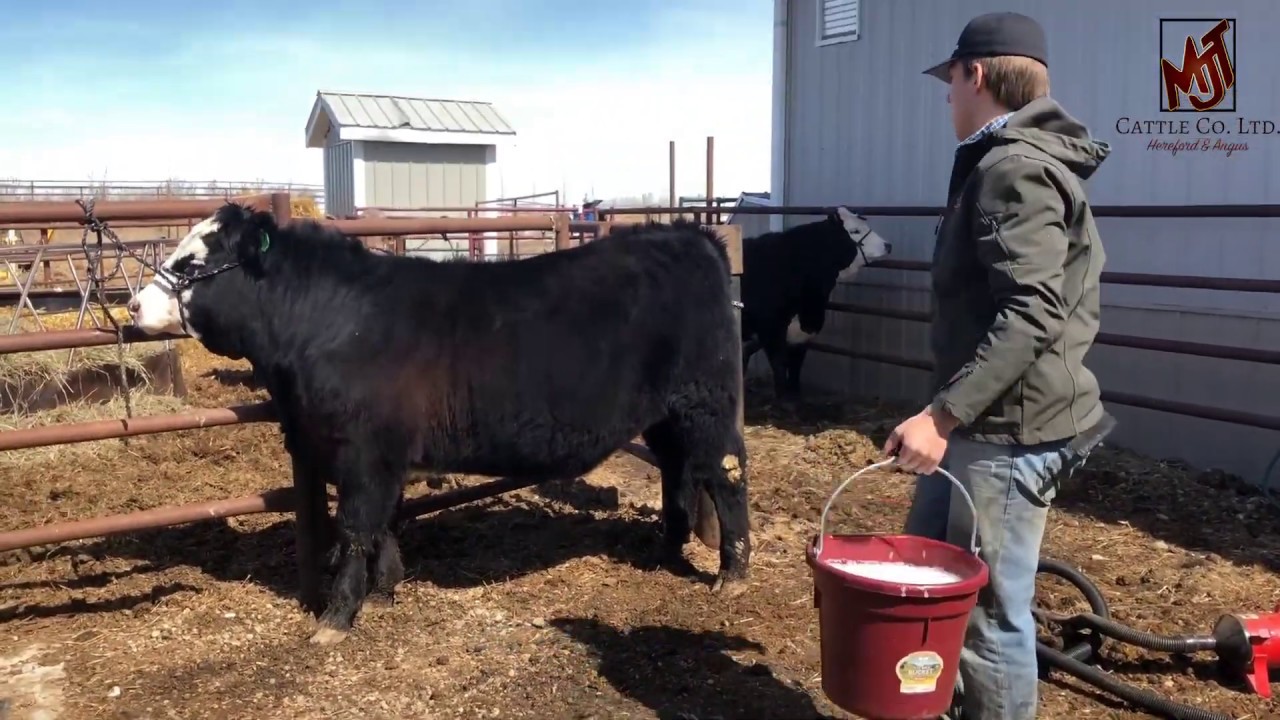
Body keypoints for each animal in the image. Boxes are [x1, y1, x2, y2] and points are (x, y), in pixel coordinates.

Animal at [126, 204, 751, 644]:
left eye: (192, 263)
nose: (132, 306)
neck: (327, 321)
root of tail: (687, 235)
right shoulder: (376, 455)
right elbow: (382, 523)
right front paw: (385, 590)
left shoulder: (363, 452)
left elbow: (356, 527)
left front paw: (337, 616)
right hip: (666, 415)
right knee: (677, 471)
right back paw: (665, 548)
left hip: (703, 404)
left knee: (724, 474)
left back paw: (732, 573)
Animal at [739, 207, 892, 399]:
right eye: (855, 231)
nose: (888, 245)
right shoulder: (771, 332)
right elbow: (780, 371)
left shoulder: (801, 336)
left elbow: (795, 372)